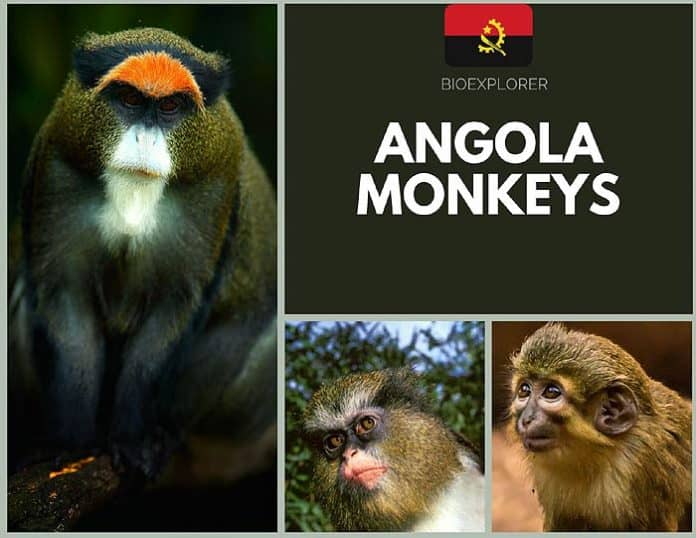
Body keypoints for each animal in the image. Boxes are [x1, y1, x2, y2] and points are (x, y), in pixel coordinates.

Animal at [8, 27, 277, 481]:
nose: (144, 140)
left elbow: (169, 317)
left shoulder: (213, 187)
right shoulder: (58, 164)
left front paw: (133, 441)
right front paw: (69, 445)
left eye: (169, 107)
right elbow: (67, 304)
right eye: (130, 100)